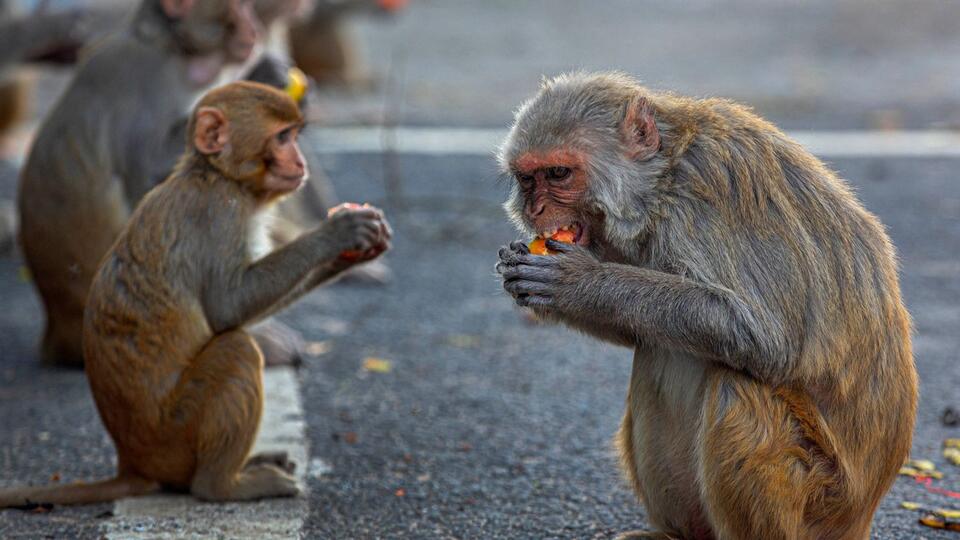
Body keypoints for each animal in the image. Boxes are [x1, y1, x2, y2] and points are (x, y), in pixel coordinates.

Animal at [0, 81, 392, 508]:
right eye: (282, 138)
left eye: (294, 136)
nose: (300, 161)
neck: (216, 174)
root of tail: (132, 462)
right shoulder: (220, 212)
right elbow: (227, 307)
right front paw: (337, 234)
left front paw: (354, 254)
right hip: (176, 435)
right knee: (236, 349)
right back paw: (224, 485)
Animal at [16, 0, 265, 367]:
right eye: (238, 8)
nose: (253, 28)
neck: (171, 47)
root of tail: (57, 334)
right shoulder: (150, 82)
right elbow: (150, 174)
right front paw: (265, 79)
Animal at [495, 72, 917, 540]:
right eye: (527, 179)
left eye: (558, 173)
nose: (535, 208)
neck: (662, 182)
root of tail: (859, 516)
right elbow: (639, 331)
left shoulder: (705, 198)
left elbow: (764, 337)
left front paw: (579, 283)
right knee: (659, 350)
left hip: (819, 500)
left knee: (737, 385)